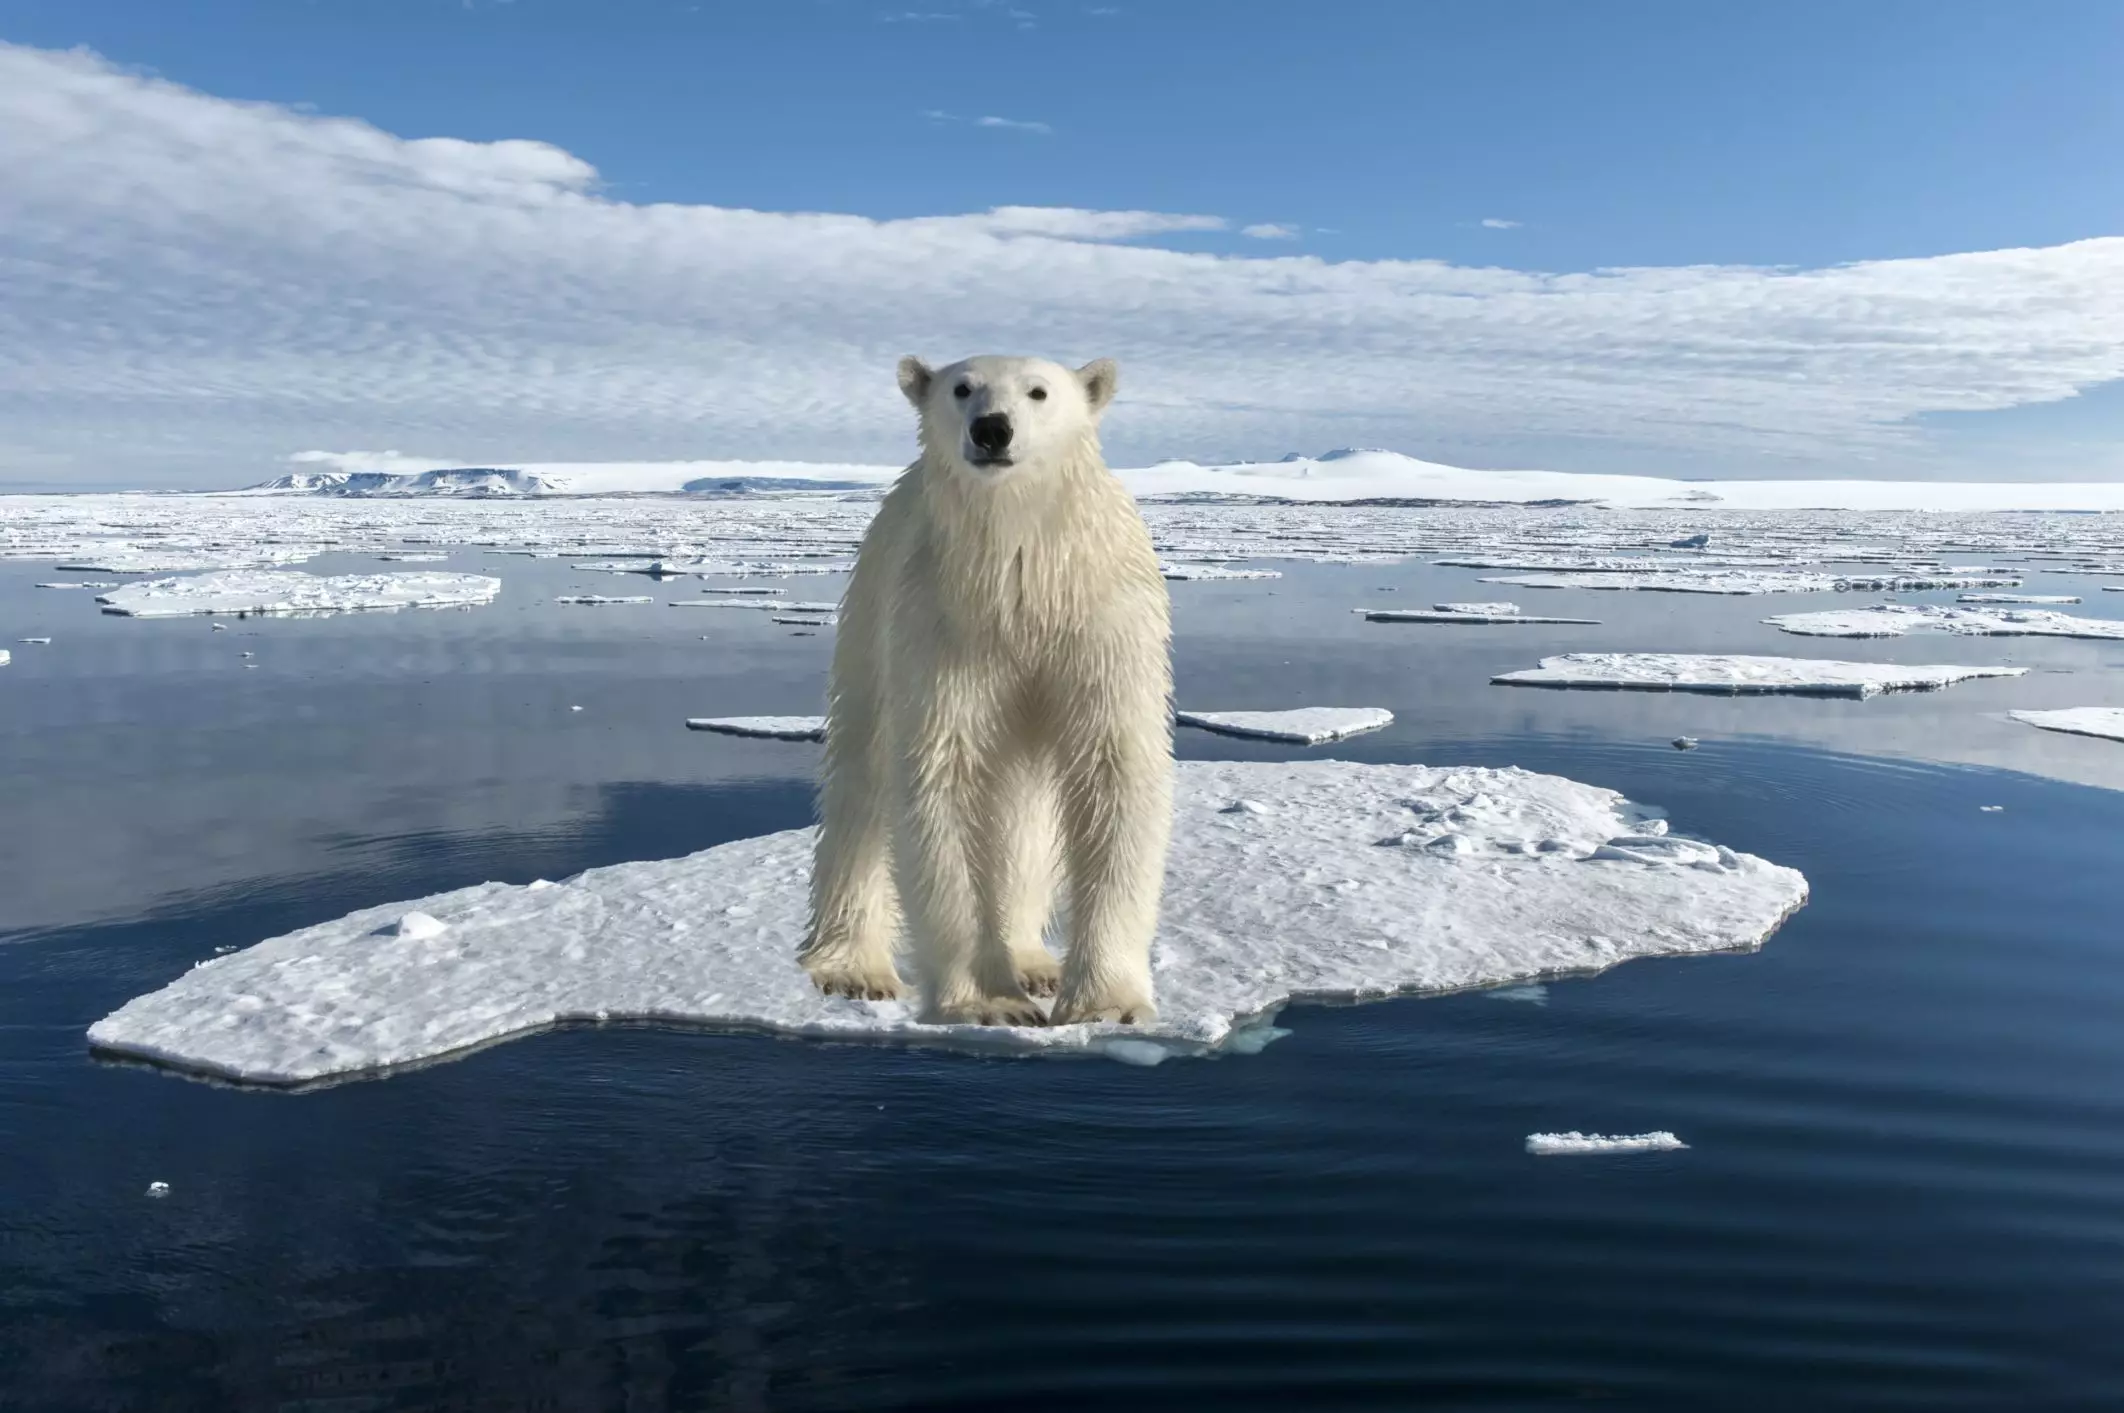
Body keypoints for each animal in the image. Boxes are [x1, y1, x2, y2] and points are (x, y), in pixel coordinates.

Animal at [798, 352, 1172, 1024]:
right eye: (962, 388)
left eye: (1039, 391)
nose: (992, 429)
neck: (1020, 576)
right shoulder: (942, 626)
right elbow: (944, 777)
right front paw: (991, 1002)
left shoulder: (1100, 622)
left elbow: (1114, 772)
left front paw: (1106, 1003)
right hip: (869, 611)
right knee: (861, 777)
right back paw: (852, 967)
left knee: (1025, 808)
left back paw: (1033, 960)